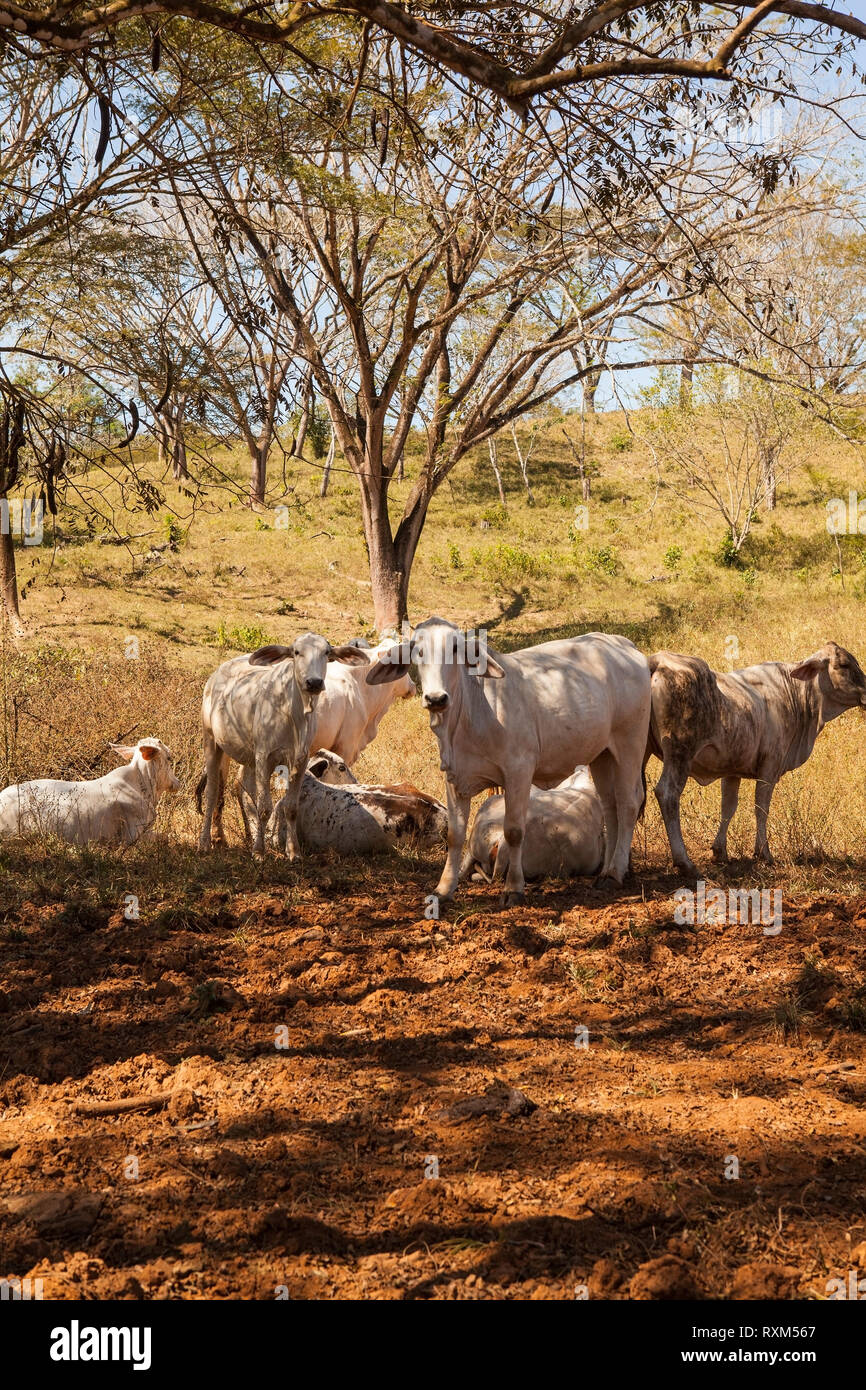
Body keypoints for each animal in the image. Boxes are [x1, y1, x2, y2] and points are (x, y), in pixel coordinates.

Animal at [197, 634, 368, 858]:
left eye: (326, 652)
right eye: (296, 652)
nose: (314, 682)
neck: (294, 715)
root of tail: (217, 673)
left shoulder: (300, 761)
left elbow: (291, 807)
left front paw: (293, 852)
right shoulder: (264, 757)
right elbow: (264, 808)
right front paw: (259, 852)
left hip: (249, 758)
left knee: (245, 789)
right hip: (211, 741)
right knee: (212, 791)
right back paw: (205, 842)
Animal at [646, 642, 866, 874]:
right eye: (843, 665)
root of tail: (658, 661)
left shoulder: (732, 769)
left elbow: (728, 807)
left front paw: (720, 851)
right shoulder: (770, 765)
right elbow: (761, 807)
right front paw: (764, 852)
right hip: (680, 753)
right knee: (667, 793)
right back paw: (684, 861)